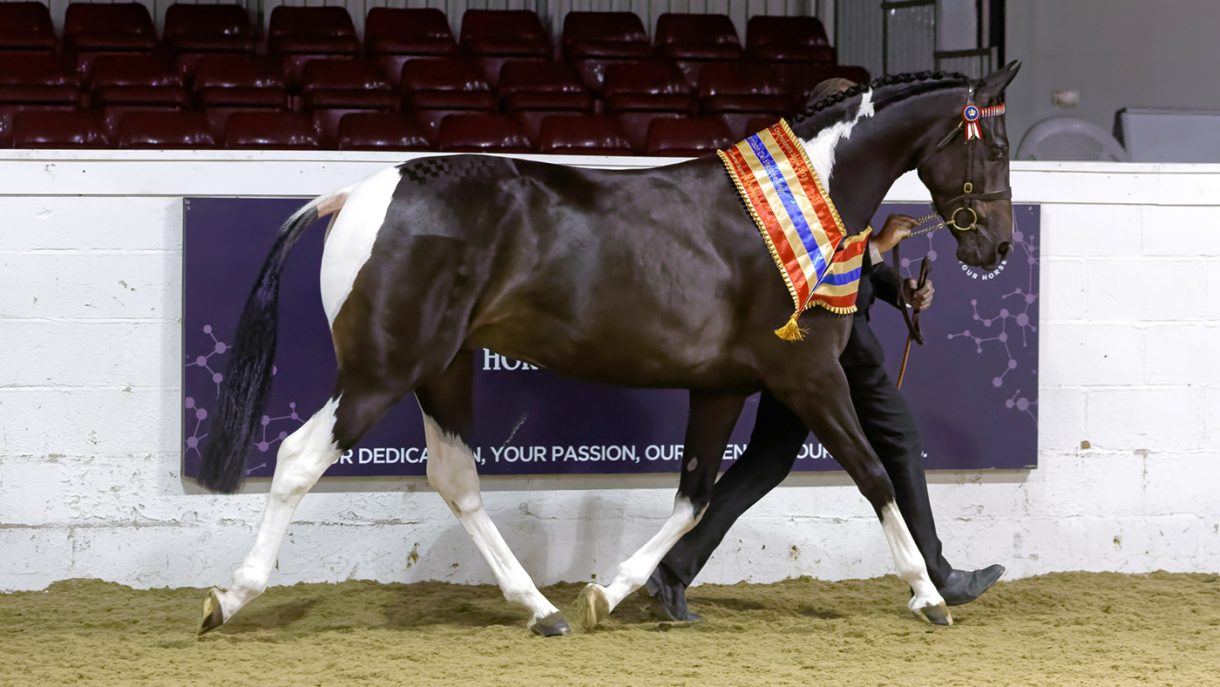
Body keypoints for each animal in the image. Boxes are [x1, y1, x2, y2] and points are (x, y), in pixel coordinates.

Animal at [196, 62, 1021, 637]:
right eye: (994, 145)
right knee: (300, 456)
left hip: (442, 368)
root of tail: (358, 193)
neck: (800, 206)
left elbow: (695, 496)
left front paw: (608, 592)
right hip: (383, 367)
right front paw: (928, 594)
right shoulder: (809, 374)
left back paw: (541, 608)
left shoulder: (723, 385)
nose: (996, 245)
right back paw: (227, 598)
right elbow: (875, 471)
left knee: (456, 477)